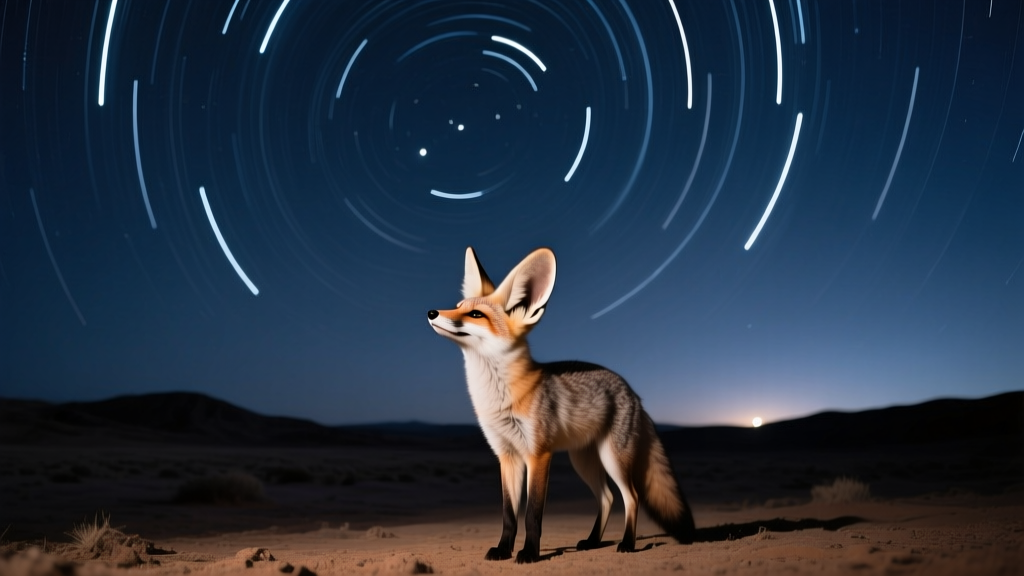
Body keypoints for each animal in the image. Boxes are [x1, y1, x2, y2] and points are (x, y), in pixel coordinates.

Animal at [427, 247, 696, 563]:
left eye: (475, 314)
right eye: (457, 306)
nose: (431, 312)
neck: (499, 398)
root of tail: (632, 392)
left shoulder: (538, 454)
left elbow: (532, 515)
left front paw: (529, 553)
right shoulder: (507, 456)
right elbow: (509, 516)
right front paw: (503, 550)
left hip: (612, 459)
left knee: (631, 497)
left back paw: (627, 543)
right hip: (583, 461)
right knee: (607, 498)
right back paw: (592, 541)